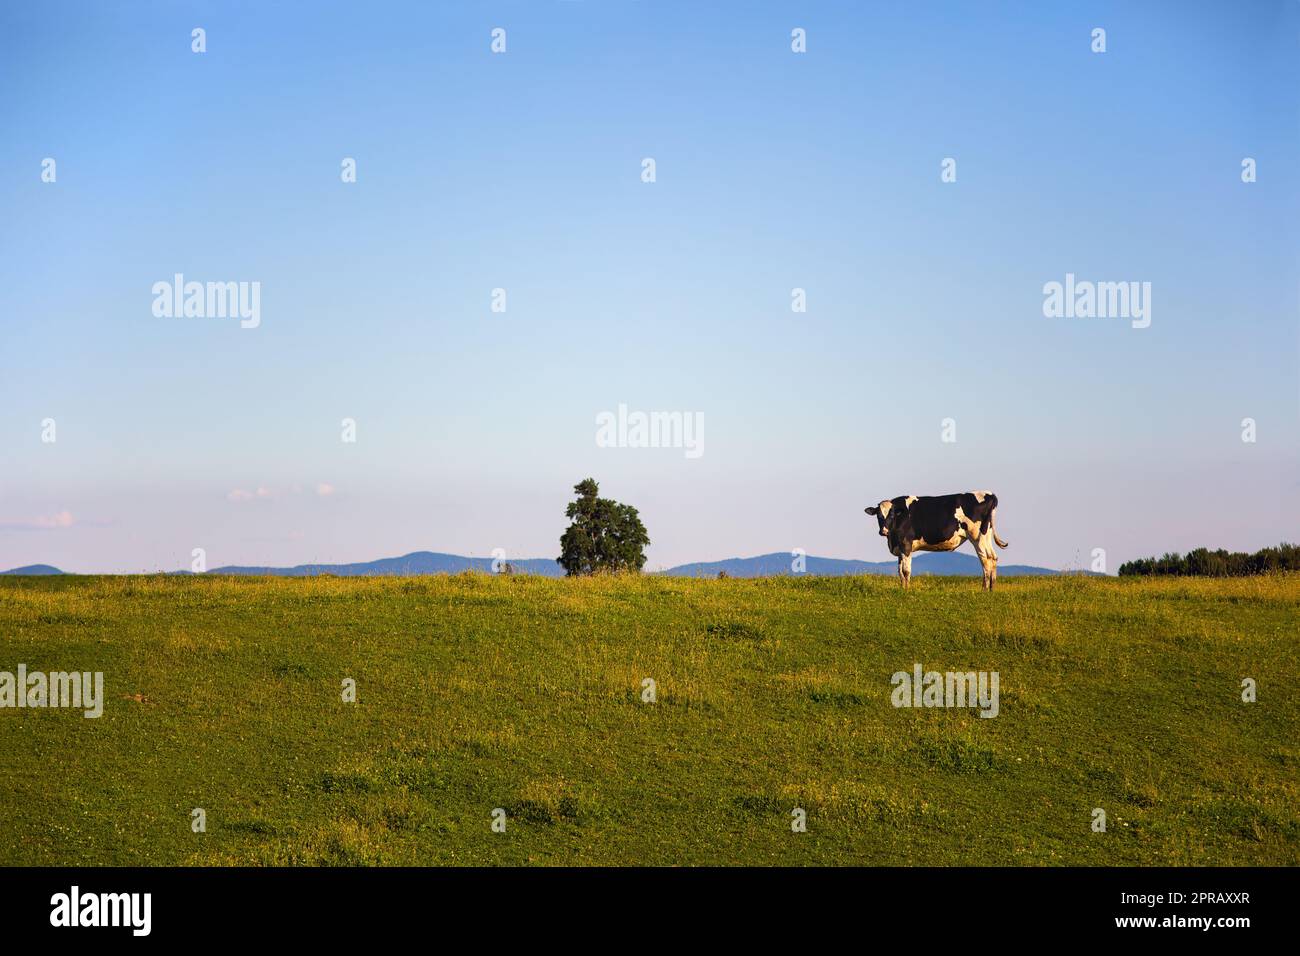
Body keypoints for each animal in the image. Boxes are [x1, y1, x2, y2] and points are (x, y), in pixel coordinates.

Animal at [865, 491, 1009, 590]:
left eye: (891, 514)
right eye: (879, 515)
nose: (883, 531)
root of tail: (989, 494)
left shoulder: (906, 545)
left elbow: (906, 571)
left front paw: (906, 590)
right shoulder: (900, 548)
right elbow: (900, 572)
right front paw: (902, 589)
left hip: (976, 536)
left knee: (985, 559)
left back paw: (984, 589)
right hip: (986, 534)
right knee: (993, 557)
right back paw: (991, 589)